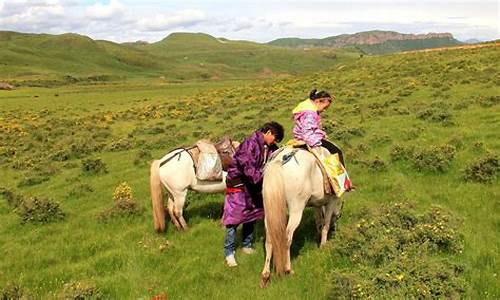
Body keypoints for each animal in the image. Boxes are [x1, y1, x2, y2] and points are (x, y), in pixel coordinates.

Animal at [258, 146, 344, 288]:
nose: (335, 229)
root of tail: (279, 160)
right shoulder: (331, 201)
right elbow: (325, 223)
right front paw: (323, 245)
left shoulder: (316, 204)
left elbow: (319, 220)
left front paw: (318, 237)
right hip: (296, 209)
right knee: (287, 237)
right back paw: (288, 269)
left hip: (269, 213)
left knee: (269, 241)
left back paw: (265, 276)